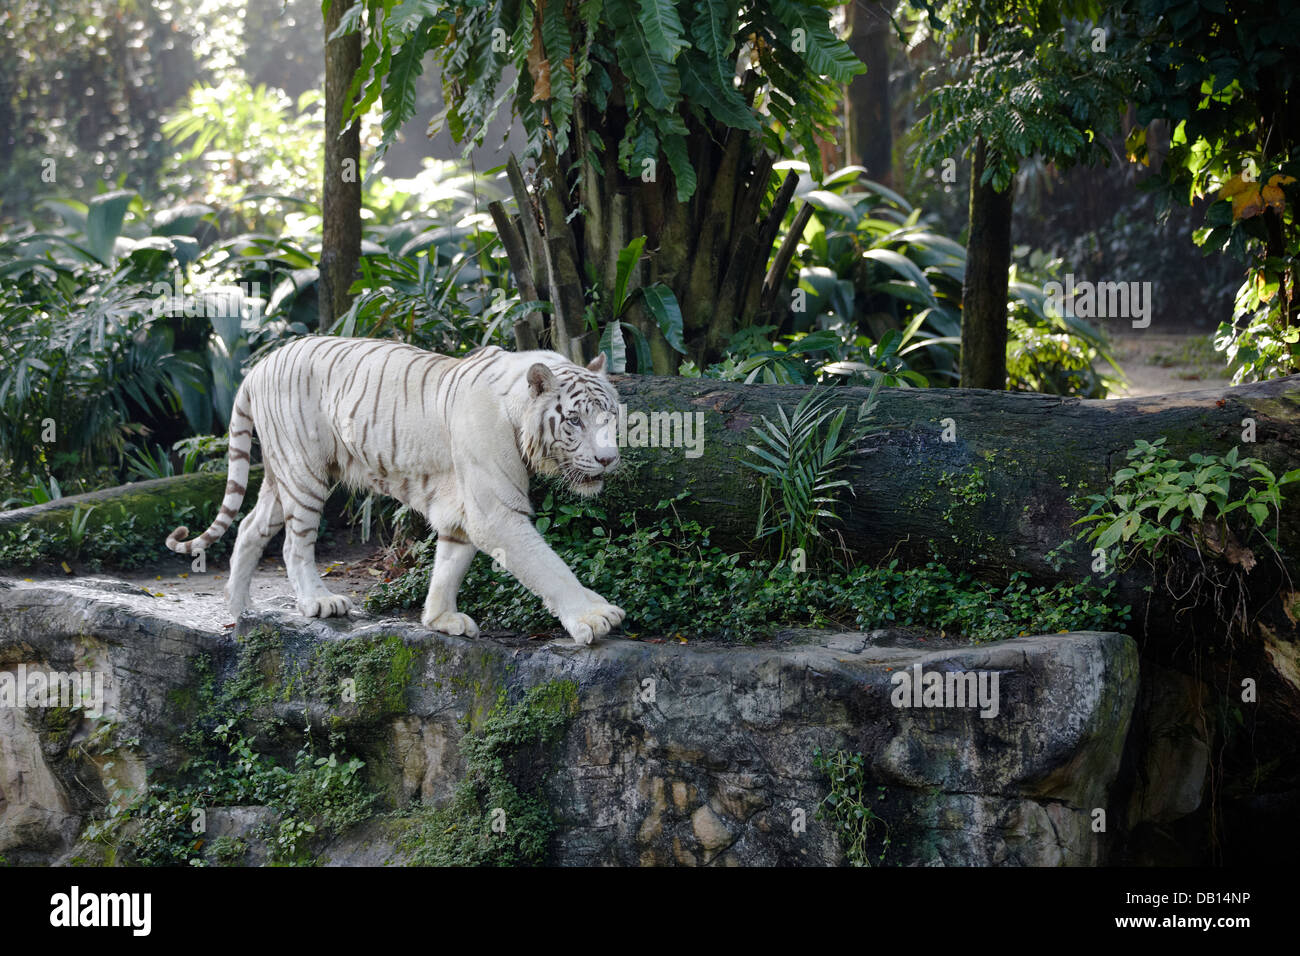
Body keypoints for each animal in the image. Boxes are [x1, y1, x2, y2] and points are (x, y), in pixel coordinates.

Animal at [165, 336, 626, 645]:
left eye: (610, 416)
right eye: (575, 421)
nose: (608, 459)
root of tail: (259, 366)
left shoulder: (463, 511)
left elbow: (449, 565)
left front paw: (440, 619)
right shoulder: (496, 511)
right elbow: (549, 566)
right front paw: (592, 616)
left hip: (283, 477)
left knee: (249, 528)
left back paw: (239, 611)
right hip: (304, 472)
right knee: (294, 546)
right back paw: (317, 602)